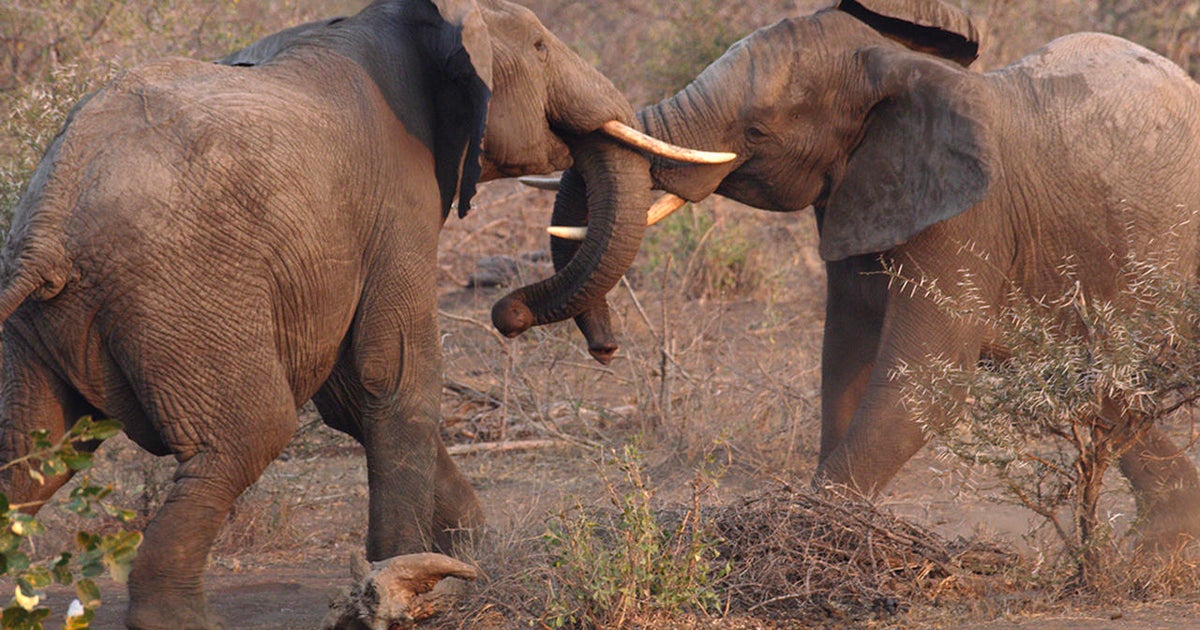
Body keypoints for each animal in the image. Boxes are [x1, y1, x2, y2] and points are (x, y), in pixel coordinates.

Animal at [0, 0, 727, 627]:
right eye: (543, 47)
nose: (508, 315)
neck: (425, 20)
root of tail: (50, 221)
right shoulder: (398, 194)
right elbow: (394, 372)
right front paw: (409, 583)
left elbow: (353, 392)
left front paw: (471, 554)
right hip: (182, 292)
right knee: (246, 435)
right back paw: (184, 621)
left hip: (51, 323)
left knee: (32, 457)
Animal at [533, 0, 1200, 547]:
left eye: (756, 131)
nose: (605, 348)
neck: (899, 69)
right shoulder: (857, 195)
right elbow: (843, 364)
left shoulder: (969, 219)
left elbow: (921, 384)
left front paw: (804, 530)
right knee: (1097, 382)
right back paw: (1167, 543)